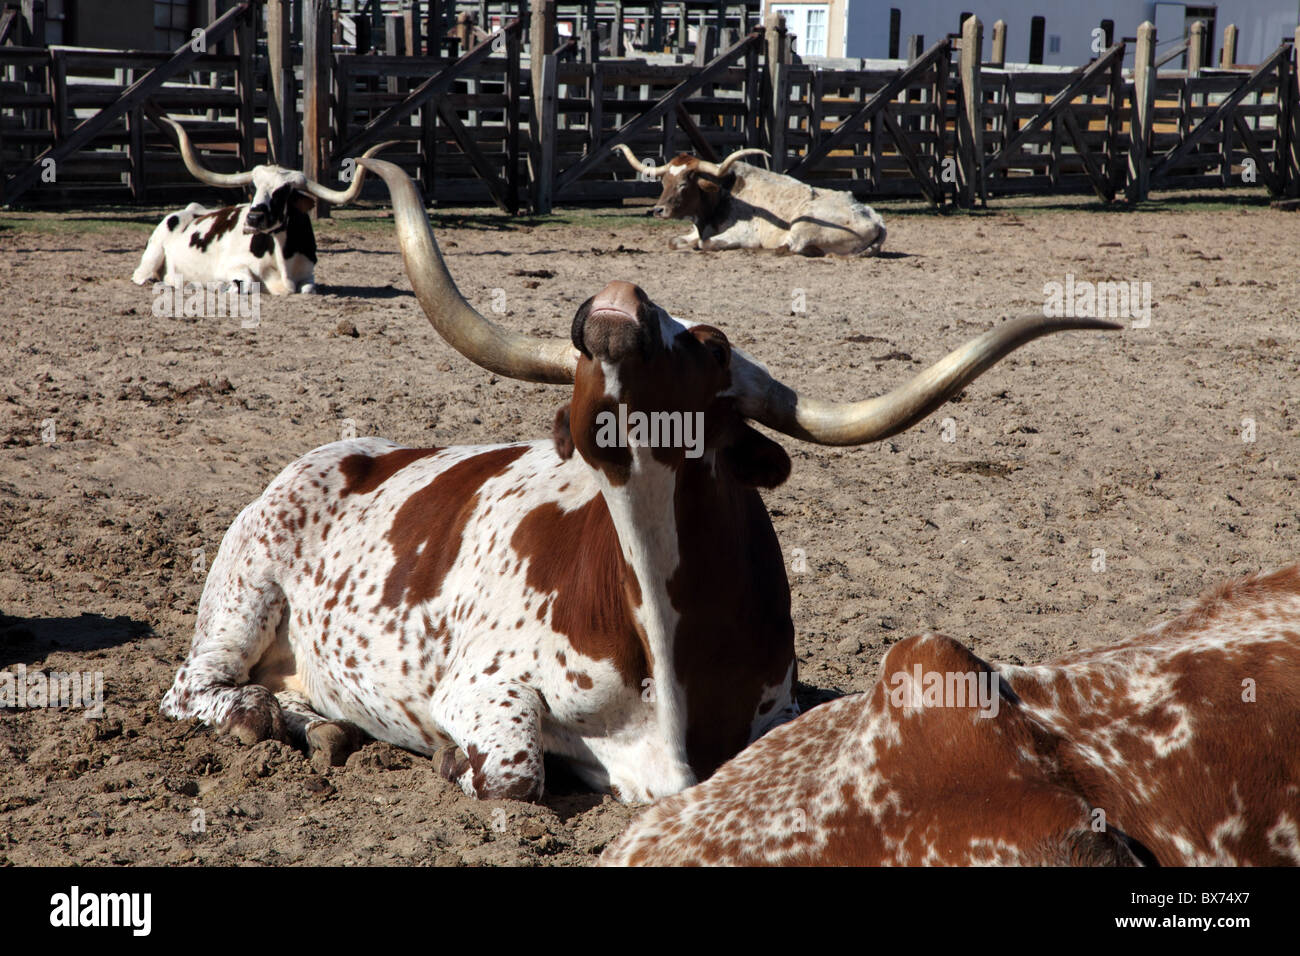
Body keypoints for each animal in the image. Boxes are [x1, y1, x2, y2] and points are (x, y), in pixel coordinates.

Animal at [132, 116, 392, 295]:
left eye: (283, 192)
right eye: (254, 188)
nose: (253, 218)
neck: (281, 257)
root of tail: (190, 209)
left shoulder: (309, 274)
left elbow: (309, 289)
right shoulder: (230, 268)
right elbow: (245, 284)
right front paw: (219, 287)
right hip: (151, 258)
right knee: (142, 276)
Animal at [160, 157, 1116, 804]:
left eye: (715, 345)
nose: (619, 297)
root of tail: (345, 451)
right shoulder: (483, 685)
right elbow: (512, 770)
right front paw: (450, 756)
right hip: (240, 598)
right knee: (199, 693)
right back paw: (296, 721)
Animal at [614, 144, 887, 257]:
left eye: (683, 184)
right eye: (664, 182)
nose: (658, 210)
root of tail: (875, 218)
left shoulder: (742, 234)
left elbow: (705, 244)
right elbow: (674, 242)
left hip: (804, 223)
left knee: (790, 247)